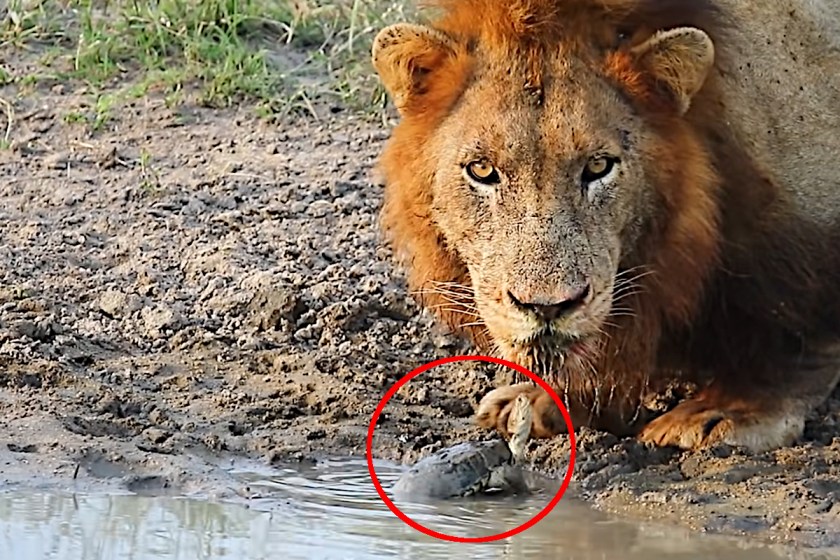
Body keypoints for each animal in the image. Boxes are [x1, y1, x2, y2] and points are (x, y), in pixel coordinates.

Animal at [370, 0, 840, 453]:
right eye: (482, 170)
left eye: (598, 166)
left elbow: (792, 340)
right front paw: (540, 401)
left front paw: (726, 412)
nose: (546, 307)